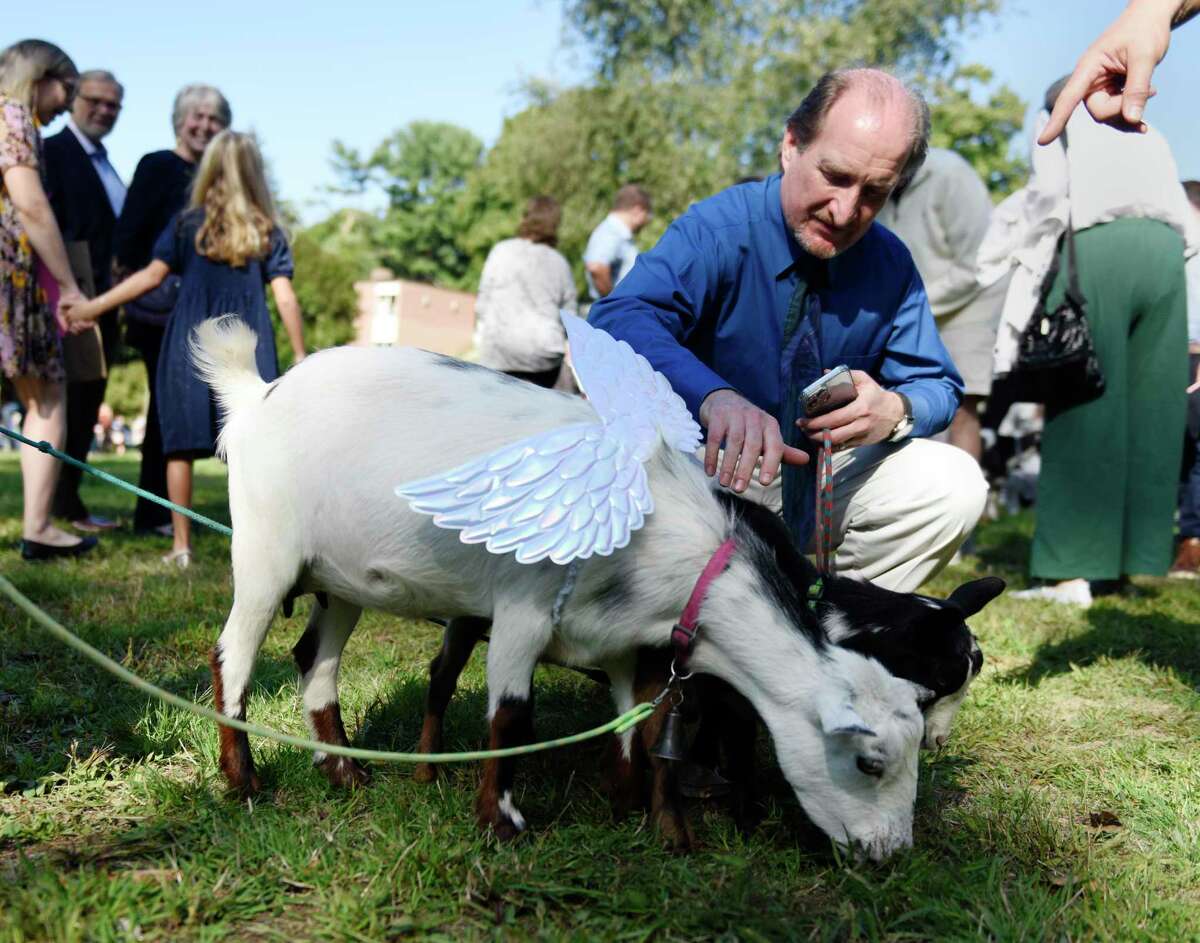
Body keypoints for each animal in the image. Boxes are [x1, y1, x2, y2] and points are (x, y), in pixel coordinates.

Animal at [193, 316, 929, 861]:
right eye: (870, 762)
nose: (890, 853)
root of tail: (256, 394)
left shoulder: (626, 640)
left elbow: (645, 728)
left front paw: (649, 818)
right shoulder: (523, 612)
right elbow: (513, 715)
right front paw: (502, 821)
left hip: (339, 577)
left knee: (315, 658)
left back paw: (343, 771)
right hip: (264, 550)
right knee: (233, 654)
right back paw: (244, 779)